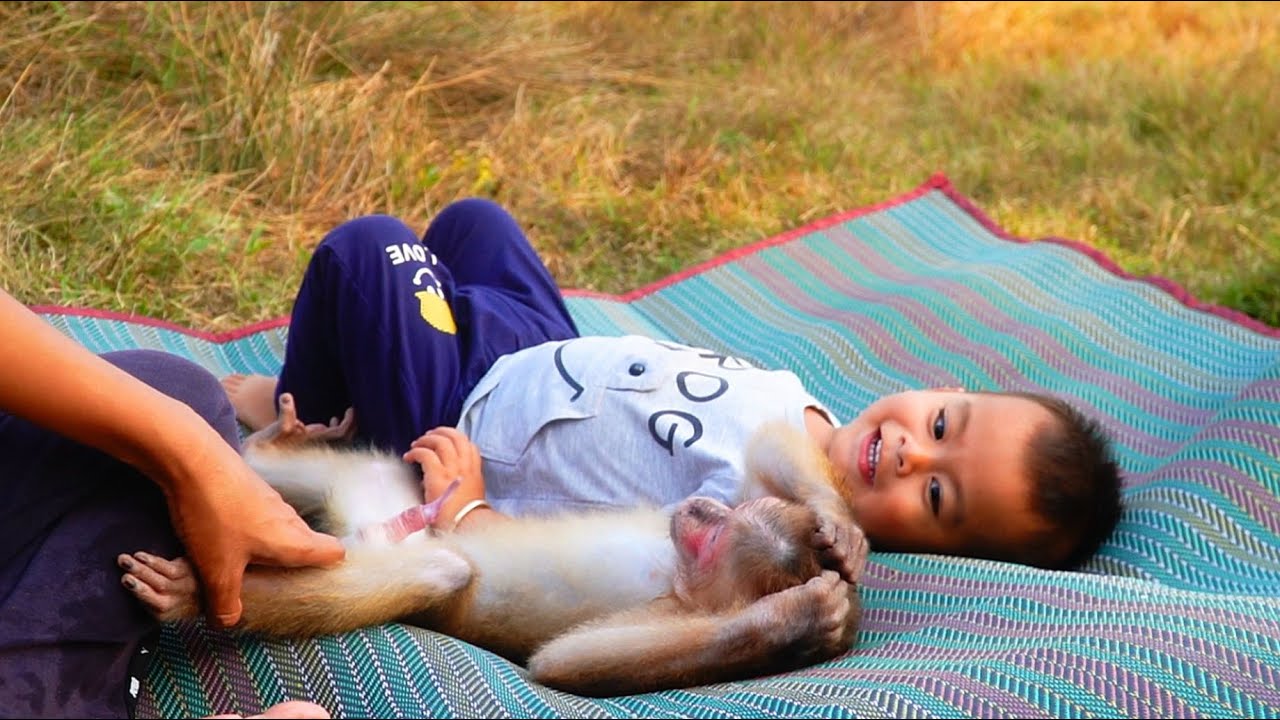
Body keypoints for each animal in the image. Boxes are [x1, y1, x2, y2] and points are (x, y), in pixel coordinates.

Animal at [119, 394, 868, 697]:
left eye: (712, 535)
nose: (700, 508)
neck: (680, 571)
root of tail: (368, 532)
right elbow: (760, 453)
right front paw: (839, 531)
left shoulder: (680, 610)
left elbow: (567, 663)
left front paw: (801, 619)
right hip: (393, 504)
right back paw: (264, 453)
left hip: (388, 527)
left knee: (436, 569)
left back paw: (197, 587)